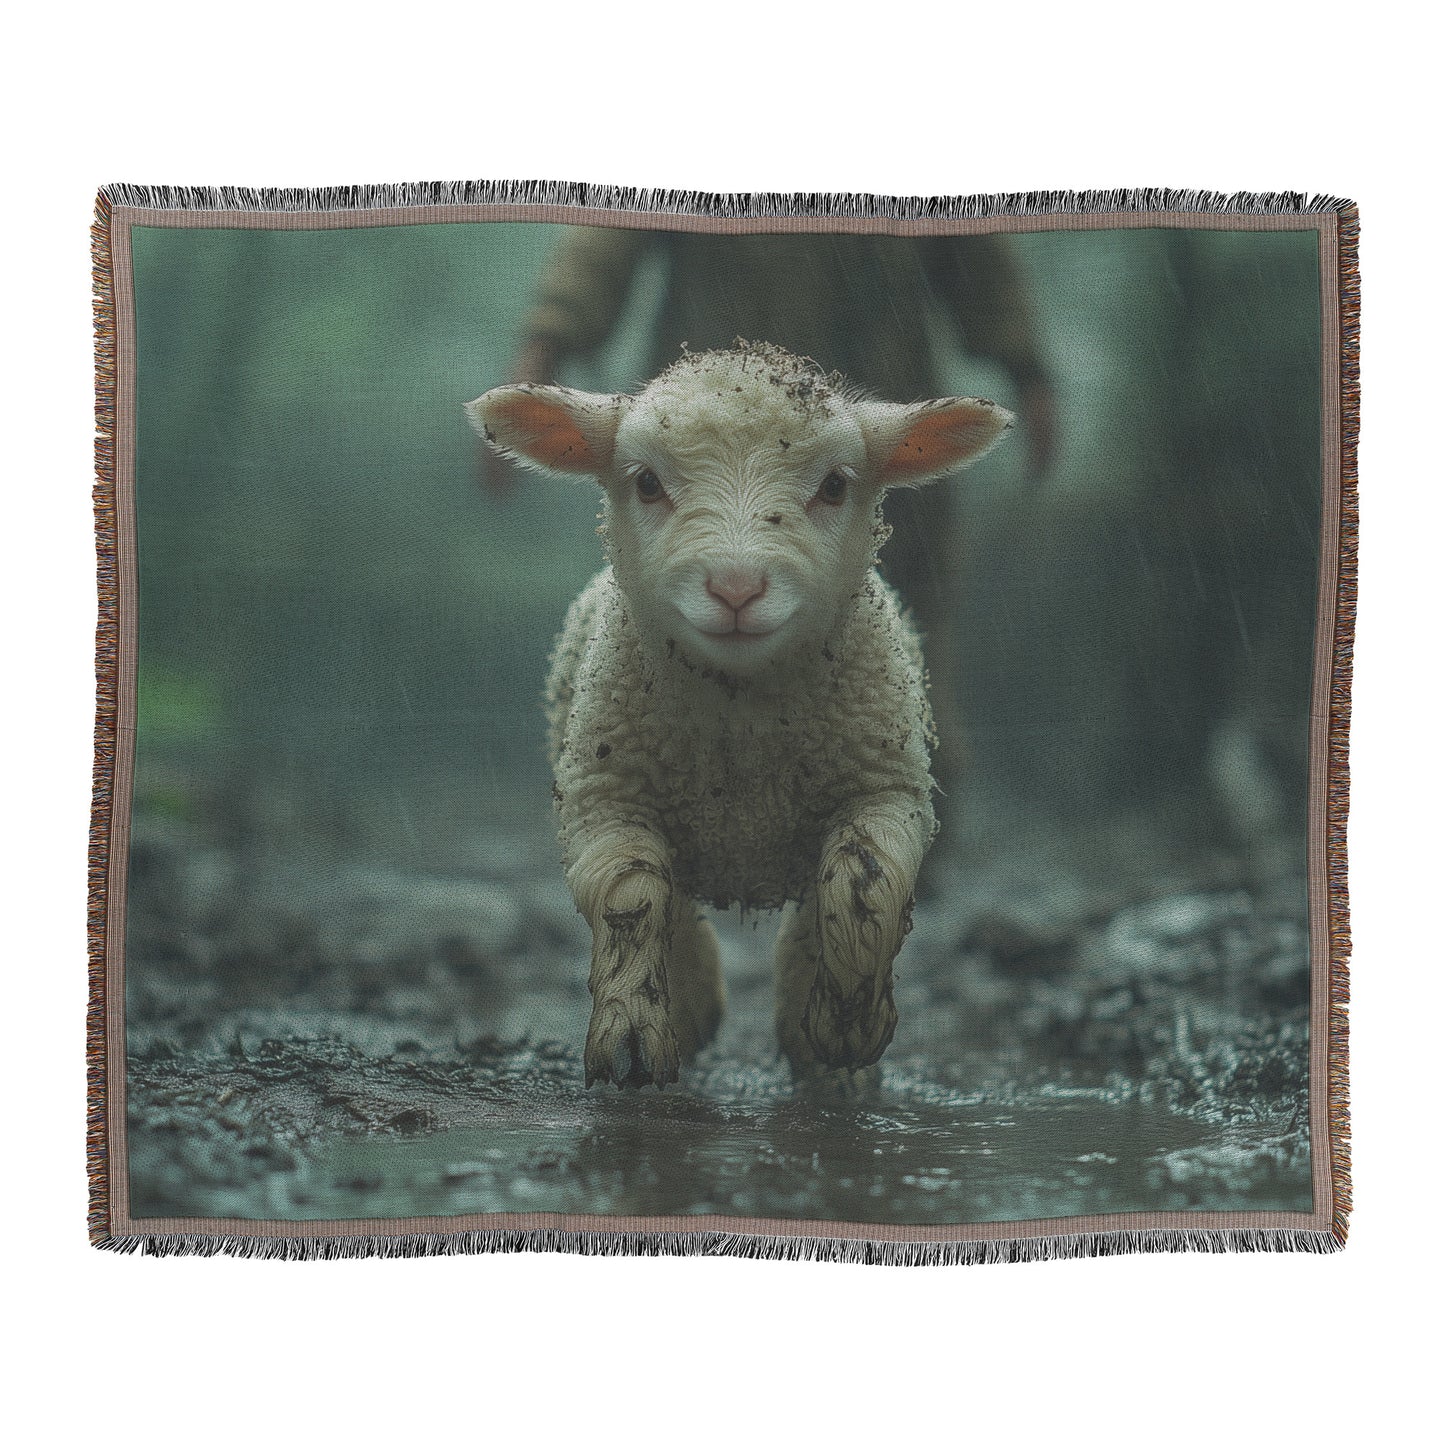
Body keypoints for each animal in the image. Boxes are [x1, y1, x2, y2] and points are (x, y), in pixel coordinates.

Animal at [466, 341, 1012, 1089]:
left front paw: (846, 1026)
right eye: (646, 483)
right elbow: (632, 894)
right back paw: (695, 1009)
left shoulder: (886, 789)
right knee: (678, 905)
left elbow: (862, 883)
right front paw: (633, 1036)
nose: (735, 586)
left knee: (816, 906)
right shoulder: (603, 799)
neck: (742, 712)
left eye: (835, 486)